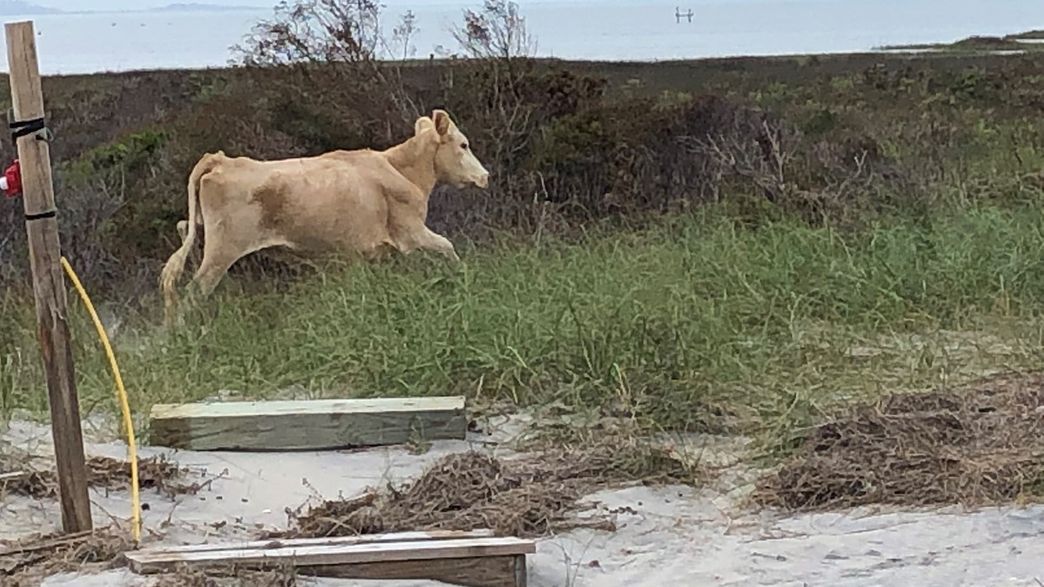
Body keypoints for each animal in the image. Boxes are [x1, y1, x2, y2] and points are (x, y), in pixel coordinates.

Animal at [159, 109, 489, 325]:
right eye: (463, 144)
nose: (485, 175)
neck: (401, 170)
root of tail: (221, 159)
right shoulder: (411, 231)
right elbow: (447, 246)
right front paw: (463, 276)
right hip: (221, 251)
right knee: (191, 294)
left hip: (202, 236)